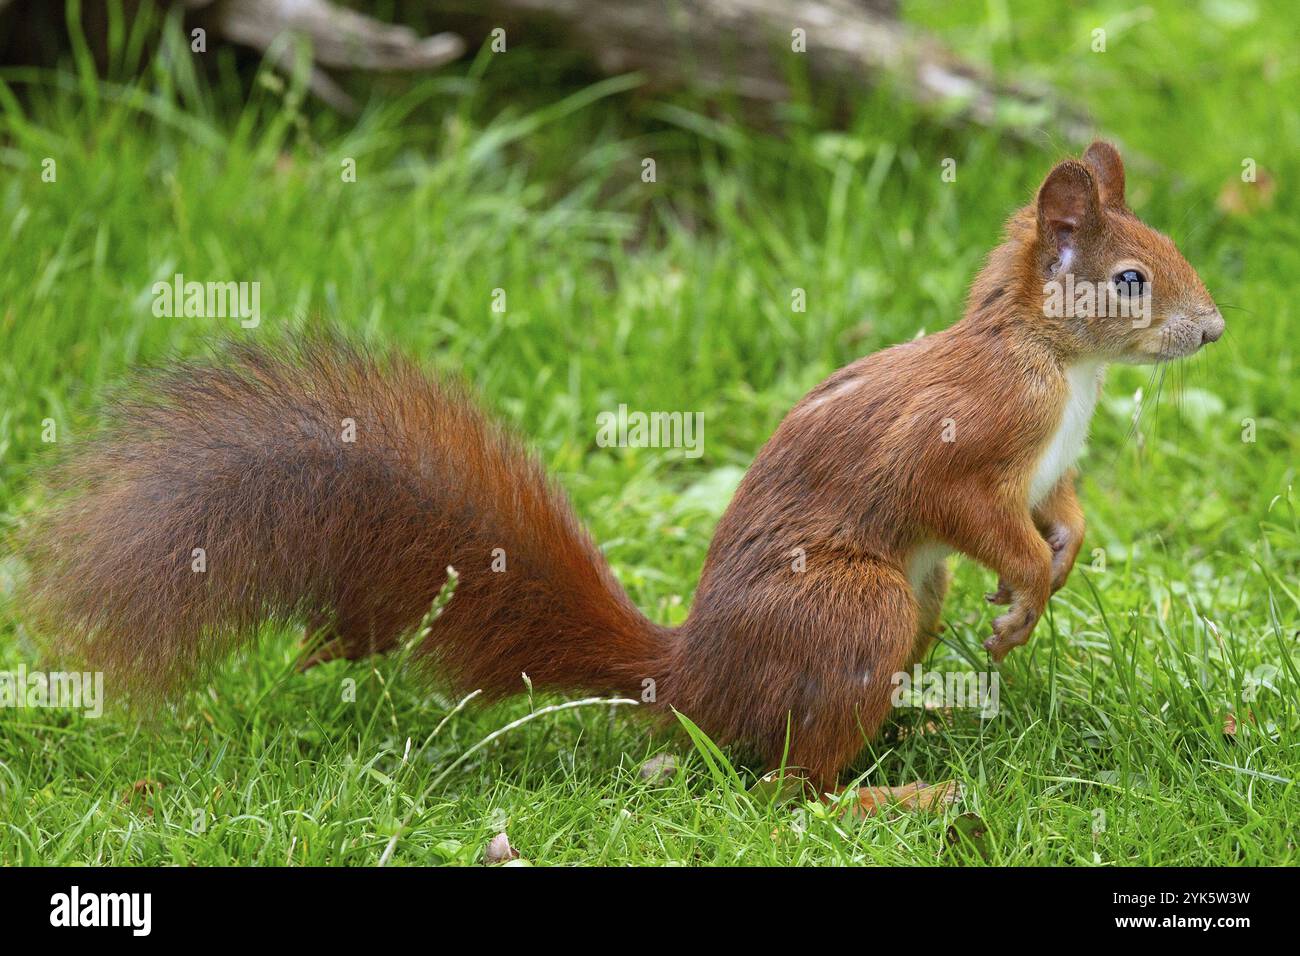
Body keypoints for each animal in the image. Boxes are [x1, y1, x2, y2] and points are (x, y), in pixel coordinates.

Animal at [21, 142, 1222, 797]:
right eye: (1130, 278)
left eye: (1172, 254)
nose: (1212, 331)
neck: (1058, 366)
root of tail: (691, 679)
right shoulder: (965, 448)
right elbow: (984, 519)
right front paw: (1024, 595)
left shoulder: (1045, 469)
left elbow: (1062, 515)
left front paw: (1058, 568)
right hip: (859, 601)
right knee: (786, 789)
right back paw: (897, 794)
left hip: (904, 607)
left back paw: (913, 728)